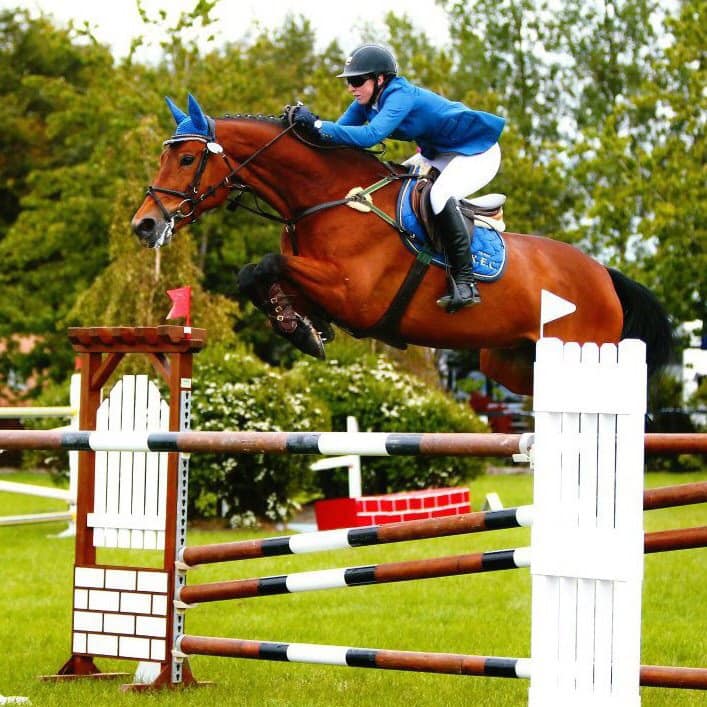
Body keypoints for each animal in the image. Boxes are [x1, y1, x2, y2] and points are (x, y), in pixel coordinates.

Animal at [131, 95, 672, 395]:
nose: (144, 225)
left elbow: (263, 265)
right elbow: (258, 275)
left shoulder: (353, 294)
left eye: (186, 159)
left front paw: (301, 328)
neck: (329, 198)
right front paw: (301, 327)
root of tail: (604, 275)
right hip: (508, 360)